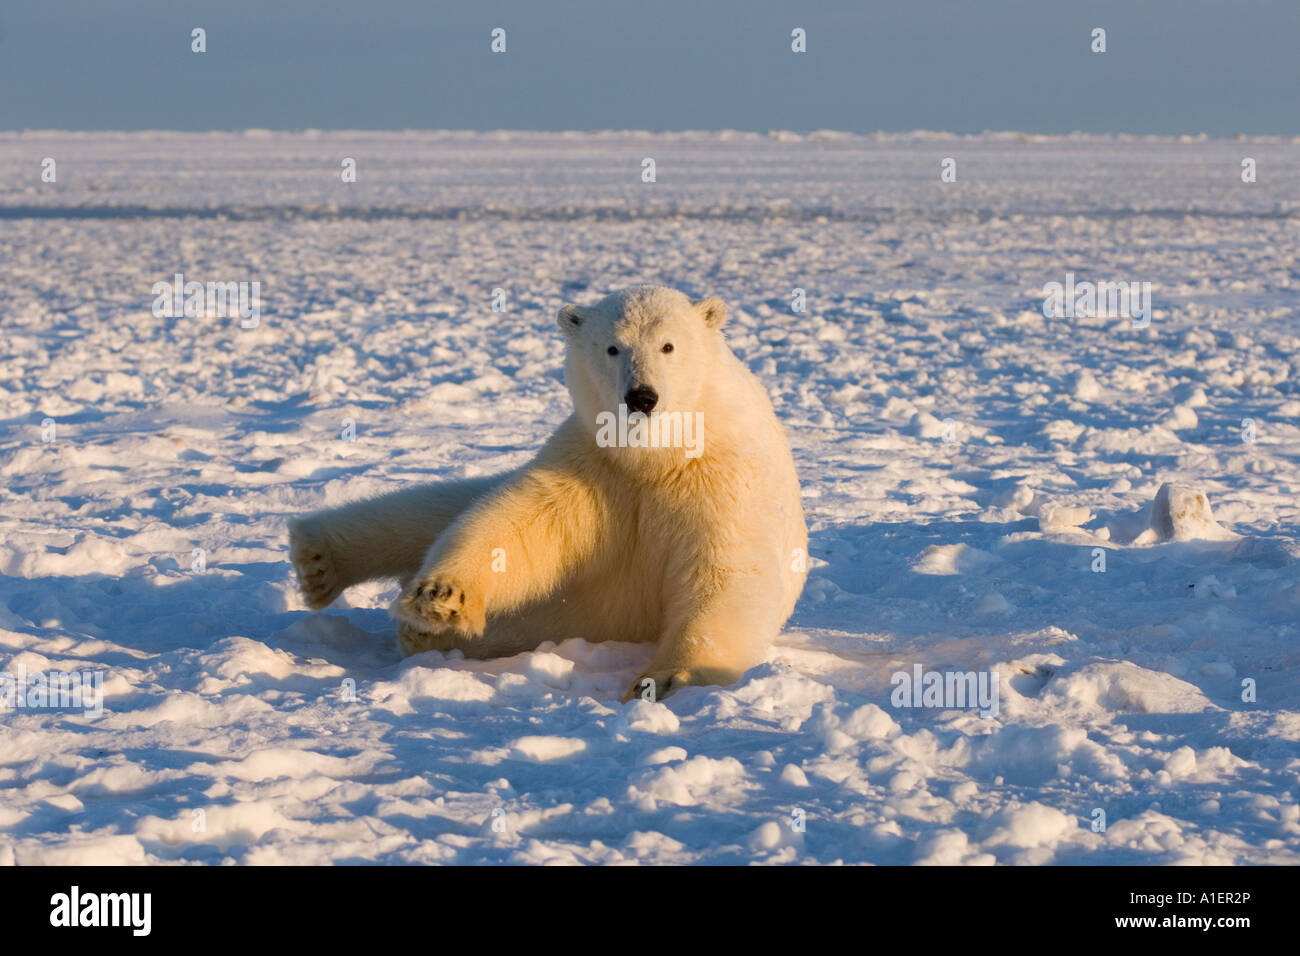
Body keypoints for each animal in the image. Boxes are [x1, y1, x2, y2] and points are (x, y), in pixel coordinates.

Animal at [288, 285, 808, 701]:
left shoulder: (722, 475)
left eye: (668, 345)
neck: (657, 455)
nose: (641, 398)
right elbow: (526, 524)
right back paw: (321, 562)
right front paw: (440, 596)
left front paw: (664, 680)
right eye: (612, 347)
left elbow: (727, 575)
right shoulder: (594, 462)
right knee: (439, 508)